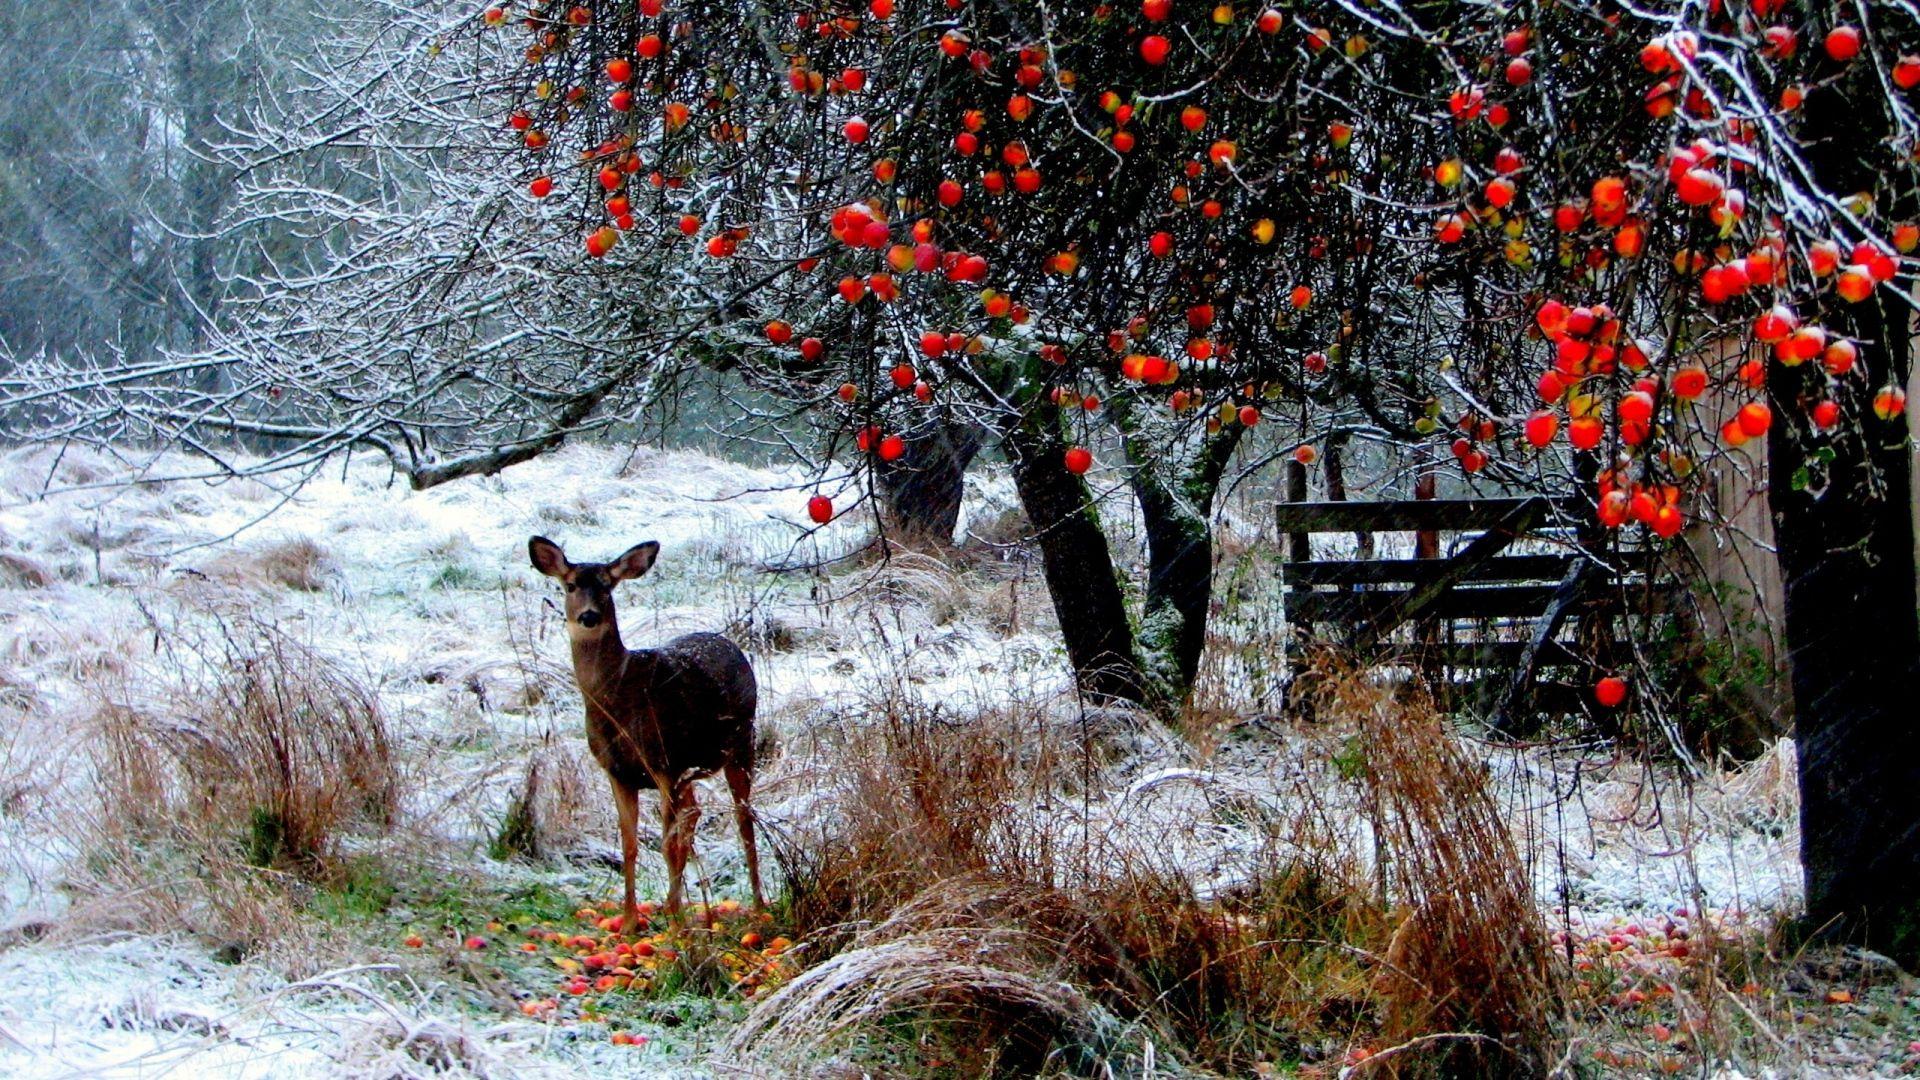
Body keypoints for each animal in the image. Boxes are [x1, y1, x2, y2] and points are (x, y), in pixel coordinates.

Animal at [528, 535, 763, 932]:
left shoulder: (661, 760)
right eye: (571, 585)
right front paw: (629, 922)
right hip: (690, 767)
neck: (618, 699)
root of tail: (729, 644)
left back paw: (758, 907)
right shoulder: (618, 771)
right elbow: (629, 845)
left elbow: (667, 844)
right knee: (694, 812)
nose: (588, 616)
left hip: (740, 741)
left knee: (743, 820)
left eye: (607, 586)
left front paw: (677, 927)